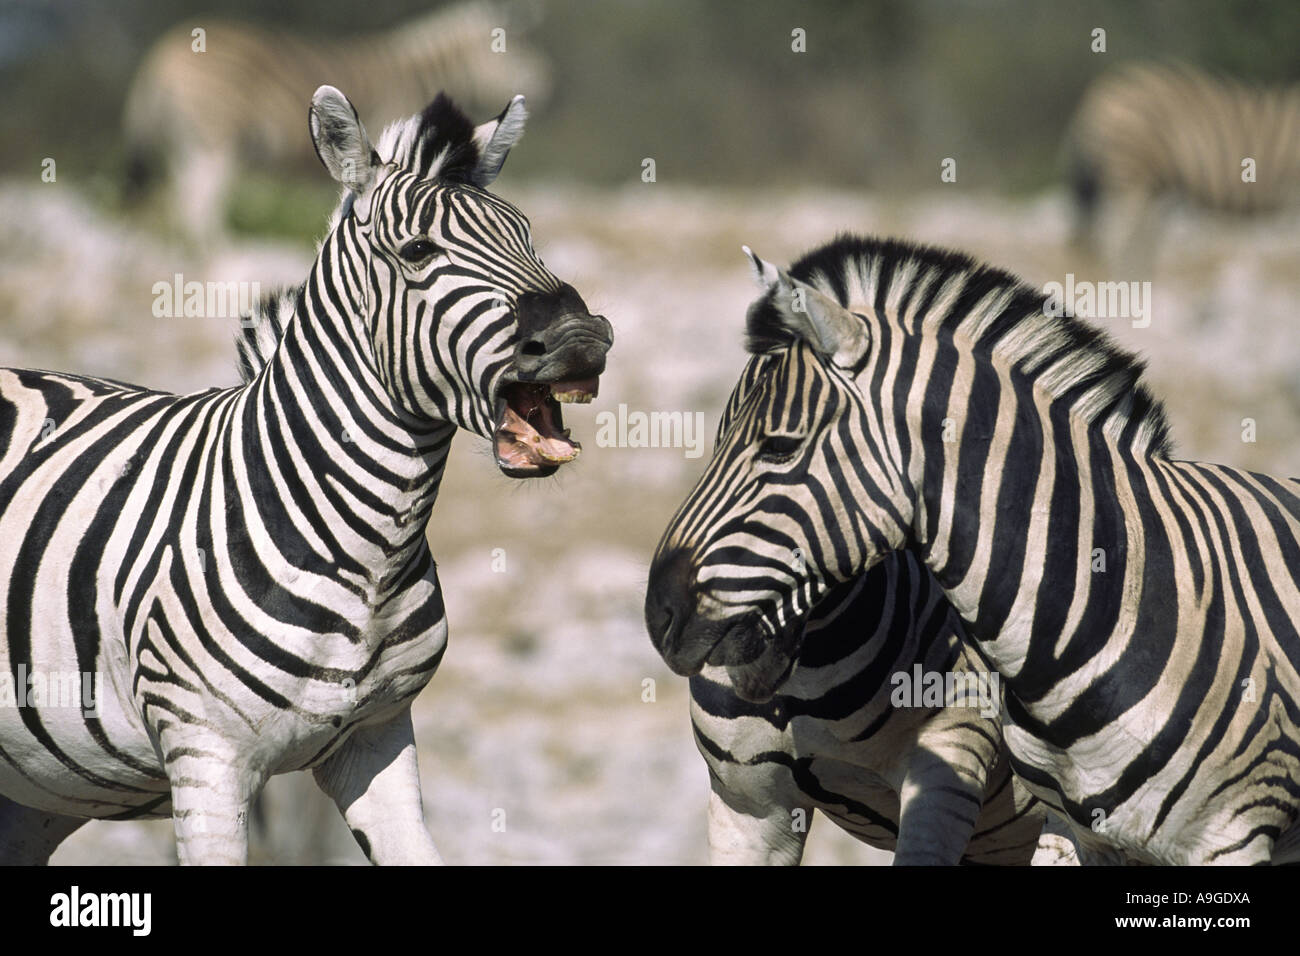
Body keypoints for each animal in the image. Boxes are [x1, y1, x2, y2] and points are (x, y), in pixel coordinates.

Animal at [0, 85, 612, 865]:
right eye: (419, 251)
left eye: (527, 236)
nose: (583, 340)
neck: (370, 555)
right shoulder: (206, 758)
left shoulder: (376, 737)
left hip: (37, 791)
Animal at [123, 1, 550, 242]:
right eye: (517, 50)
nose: (549, 85)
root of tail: (164, 53)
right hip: (216, 136)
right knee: (200, 197)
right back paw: (213, 247)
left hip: (187, 140)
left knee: (185, 195)